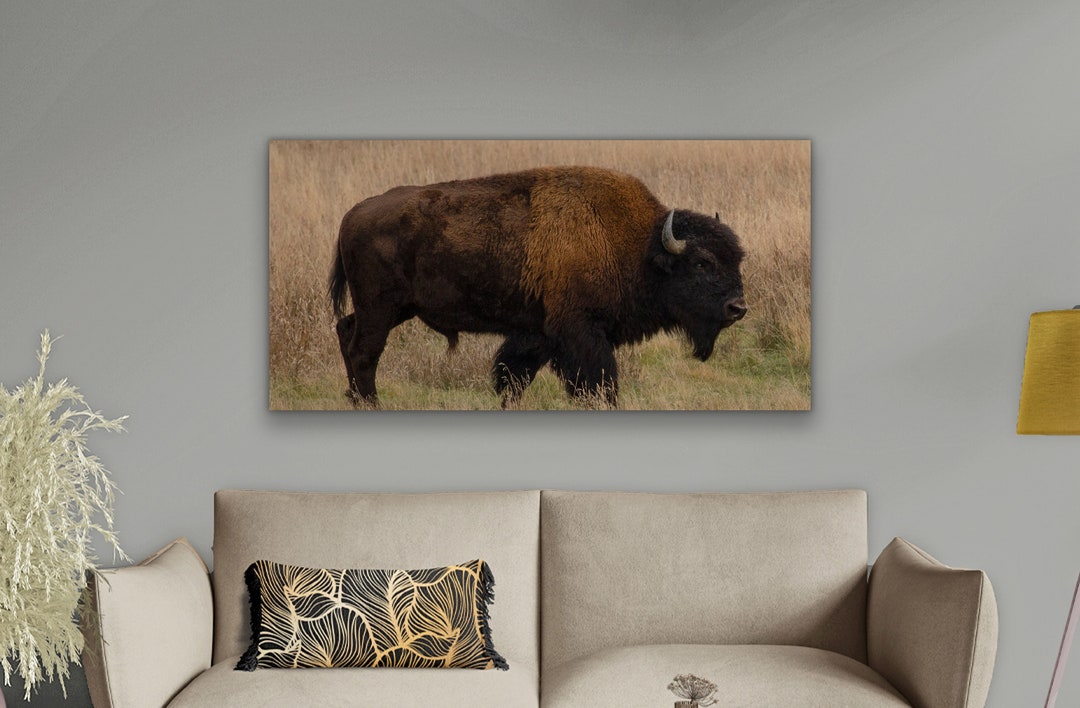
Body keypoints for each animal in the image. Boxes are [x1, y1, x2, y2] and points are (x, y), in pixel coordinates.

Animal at [328, 166, 747, 407]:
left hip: (392, 309)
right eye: (702, 262)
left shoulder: (537, 333)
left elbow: (513, 375)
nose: (738, 308)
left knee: (346, 330)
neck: (637, 245)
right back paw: (371, 403)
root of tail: (352, 213)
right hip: (380, 308)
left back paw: (355, 399)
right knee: (365, 351)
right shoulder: (581, 333)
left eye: (737, 260)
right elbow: (599, 382)